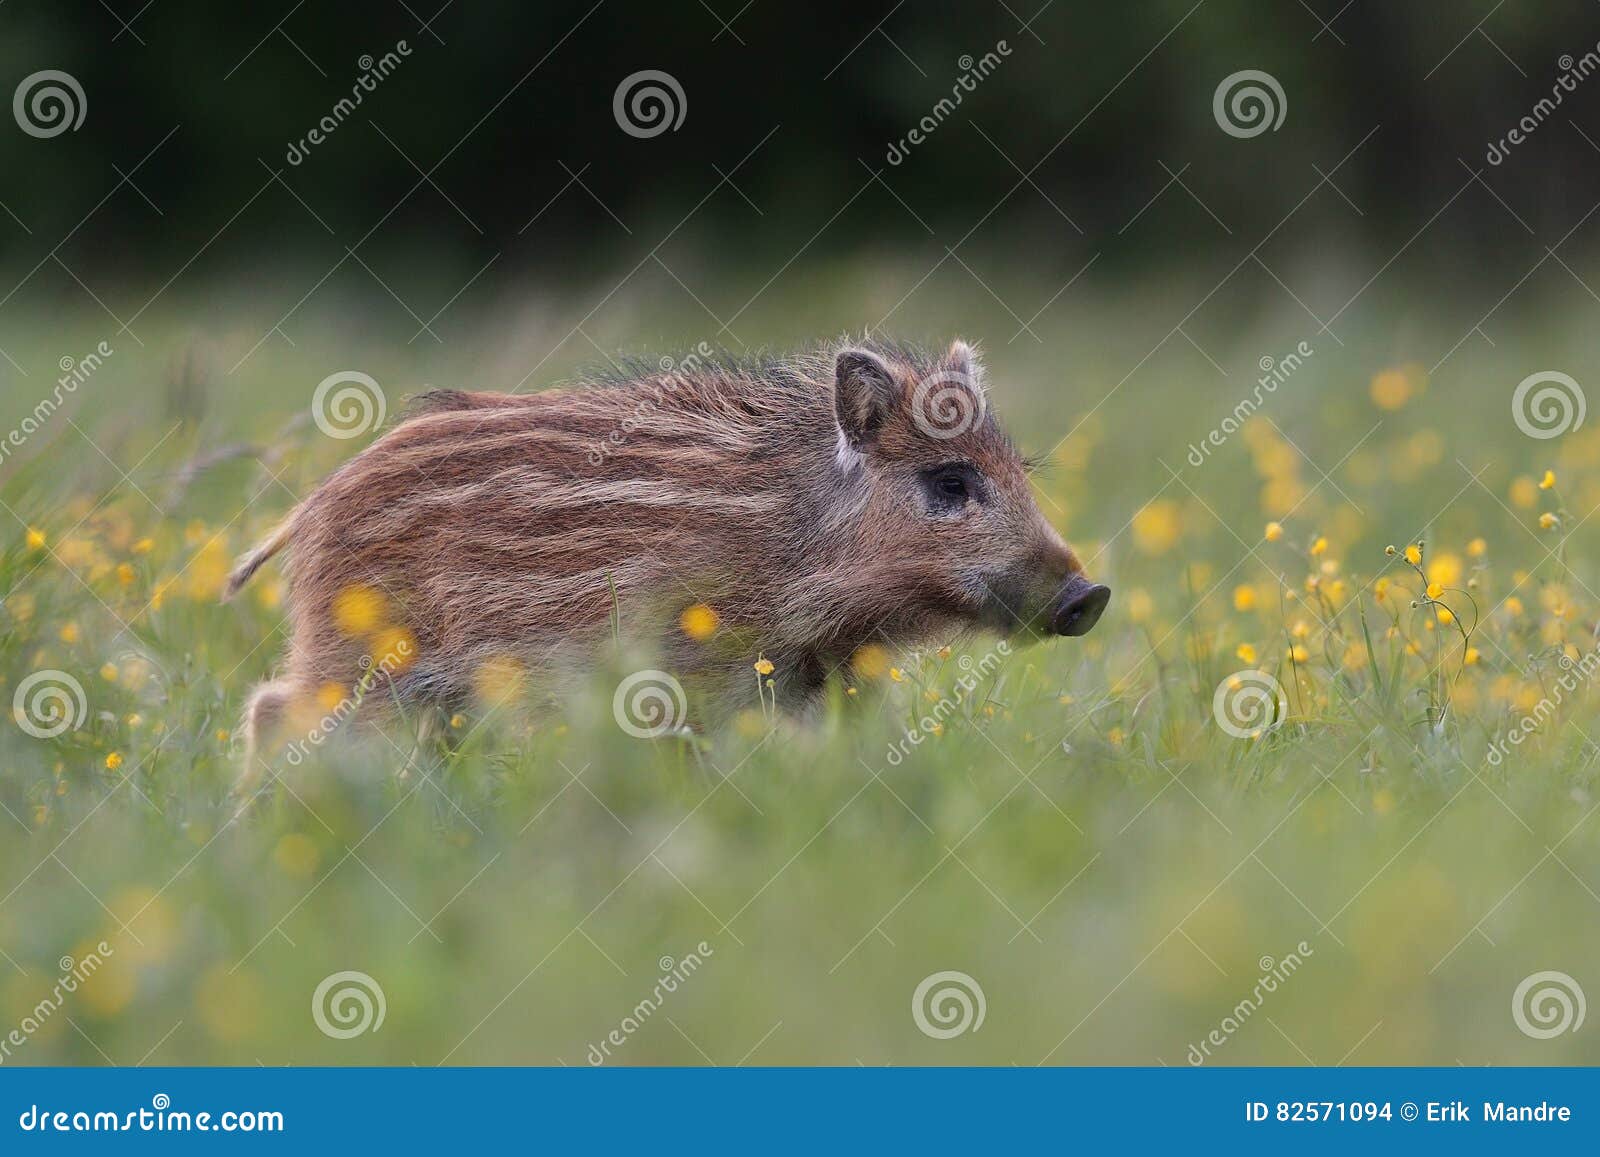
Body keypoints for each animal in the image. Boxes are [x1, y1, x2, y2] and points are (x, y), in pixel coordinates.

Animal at [225, 338, 1108, 772]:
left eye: (1017, 471)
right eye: (950, 481)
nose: (1089, 595)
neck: (792, 539)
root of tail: (312, 503)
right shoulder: (688, 677)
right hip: (360, 657)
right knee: (272, 711)